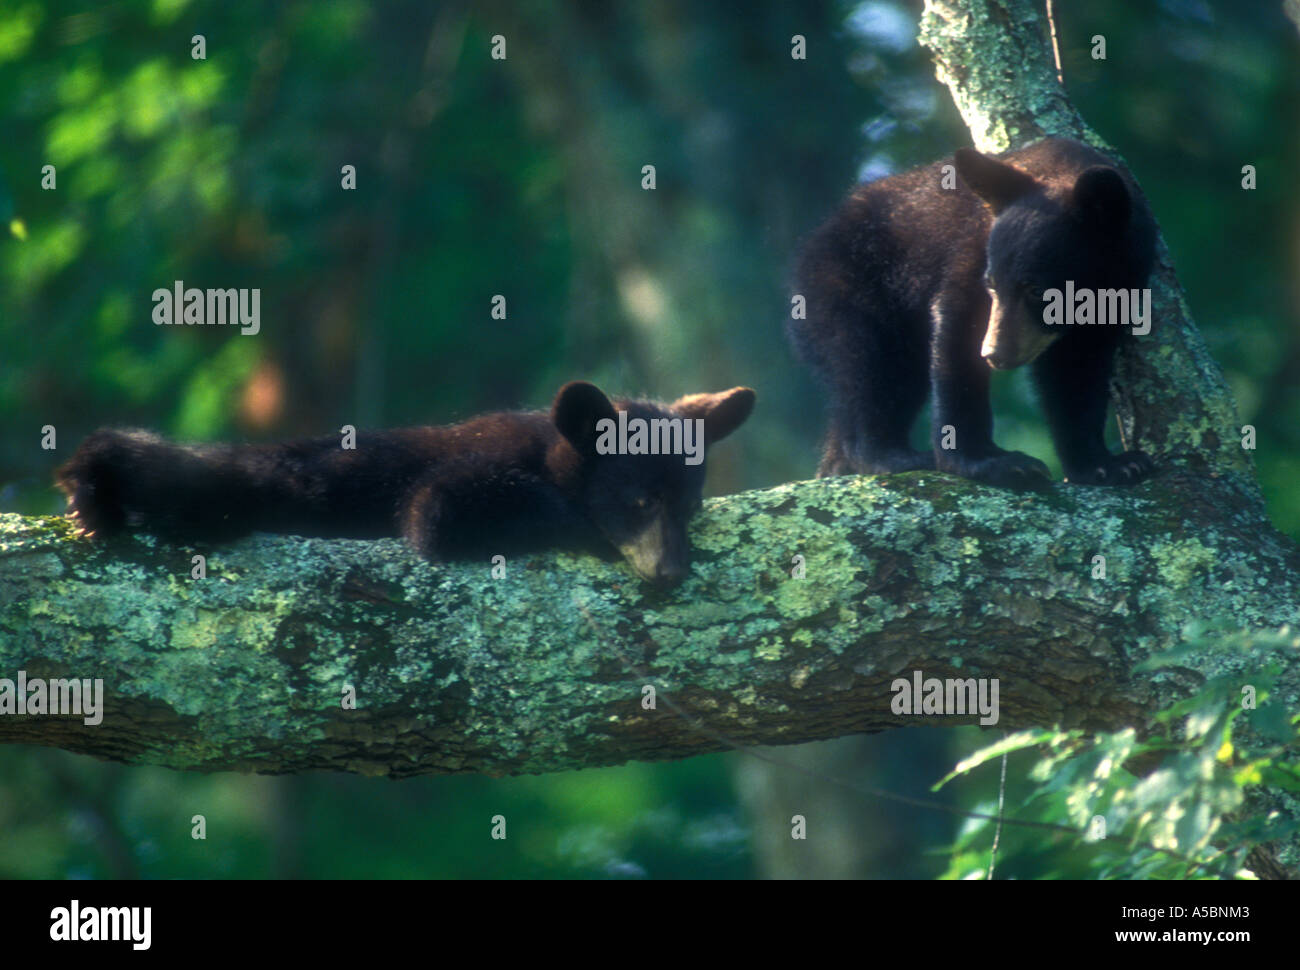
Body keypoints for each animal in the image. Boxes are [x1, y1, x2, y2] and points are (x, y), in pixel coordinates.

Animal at [55, 381, 756, 587]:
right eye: (639, 499)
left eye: (690, 507)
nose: (671, 571)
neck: (547, 450)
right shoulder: (464, 475)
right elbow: (434, 511)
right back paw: (92, 488)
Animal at [789, 136, 1158, 489]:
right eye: (992, 284)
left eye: (1037, 290)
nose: (994, 353)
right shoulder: (972, 253)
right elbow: (957, 337)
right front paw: (994, 462)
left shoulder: (1118, 295)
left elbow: (1078, 375)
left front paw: (1106, 465)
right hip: (850, 285)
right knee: (873, 365)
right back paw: (892, 455)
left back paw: (837, 465)